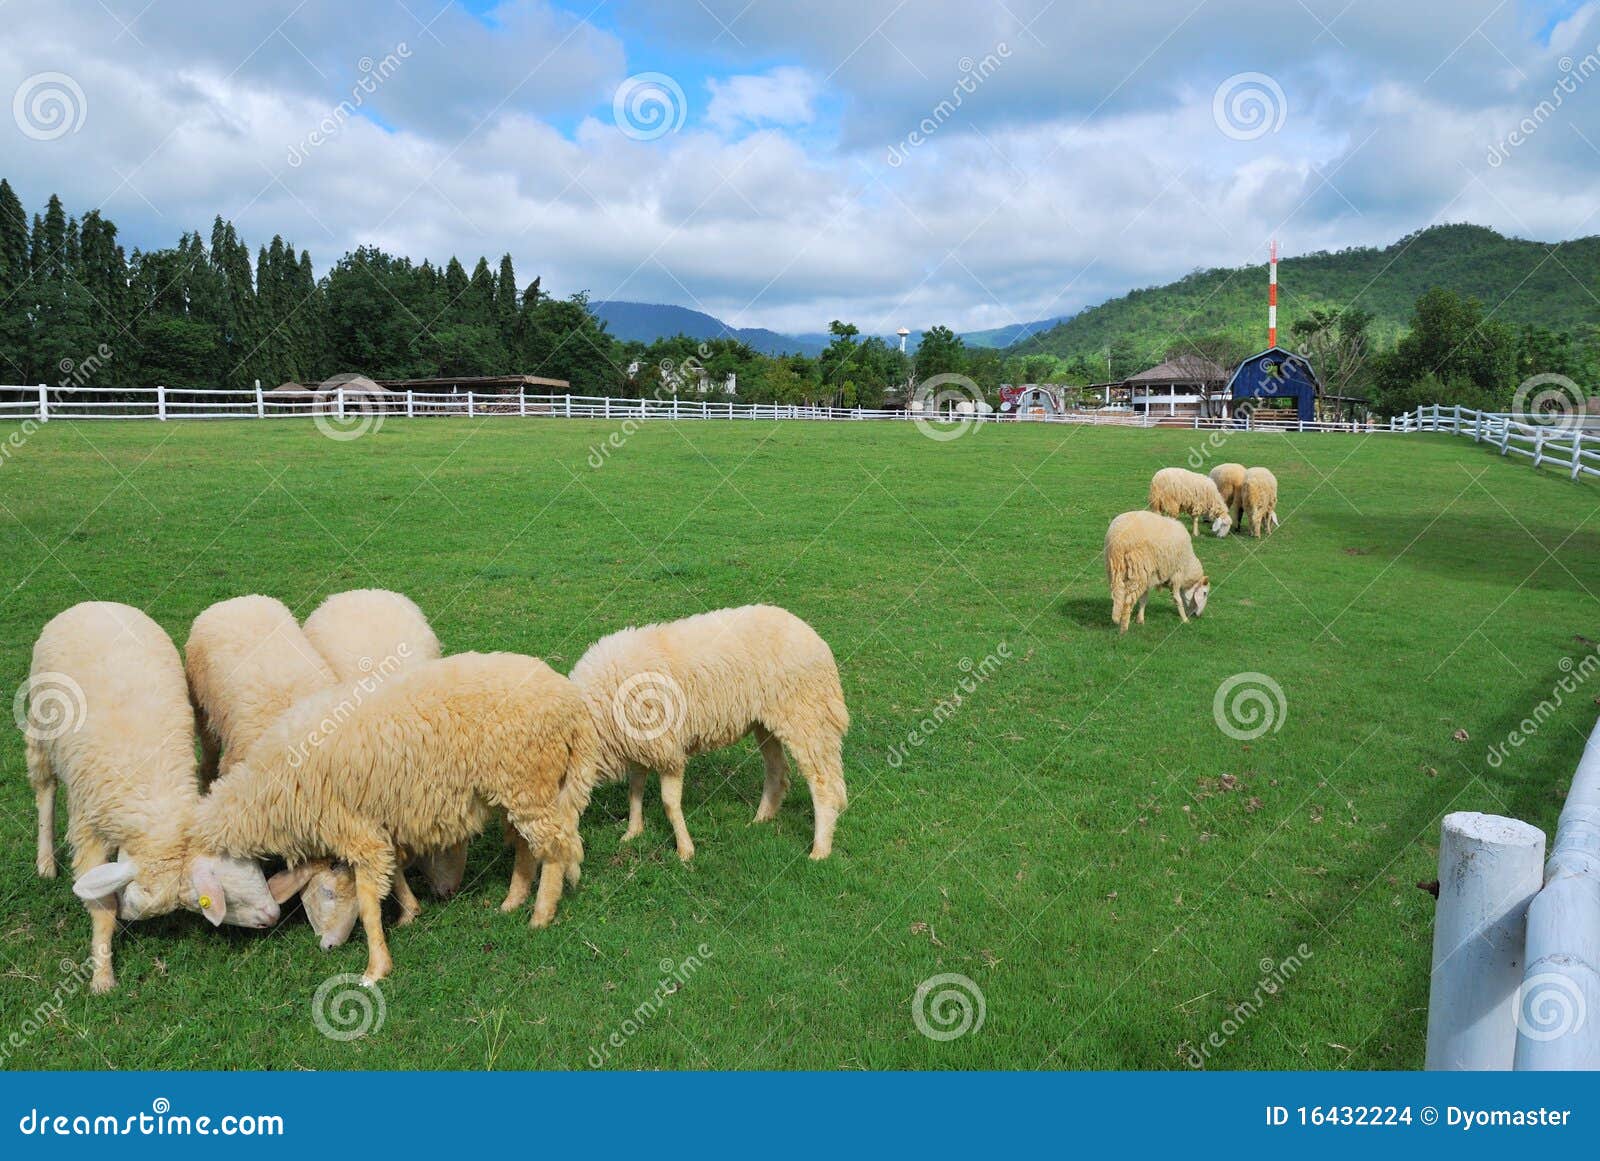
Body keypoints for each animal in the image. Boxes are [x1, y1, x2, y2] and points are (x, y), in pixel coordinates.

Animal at [24, 602, 280, 993]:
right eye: (204, 900)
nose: (273, 915)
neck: (152, 796)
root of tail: (96, 603)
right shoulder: (87, 824)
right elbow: (100, 903)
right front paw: (102, 972)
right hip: (40, 727)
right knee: (45, 791)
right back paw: (45, 862)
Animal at [190, 651, 598, 984]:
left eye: (326, 894)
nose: (327, 947)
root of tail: (571, 702)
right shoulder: (379, 821)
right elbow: (395, 869)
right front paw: (409, 913)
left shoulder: (353, 827)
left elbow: (369, 899)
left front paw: (375, 968)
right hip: (518, 787)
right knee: (527, 845)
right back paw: (513, 900)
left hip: (529, 780)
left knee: (554, 848)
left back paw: (541, 915)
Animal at [553, 604, 849, 871]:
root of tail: (814, 637)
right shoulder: (638, 745)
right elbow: (634, 789)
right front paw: (633, 832)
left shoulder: (667, 749)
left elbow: (669, 803)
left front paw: (685, 850)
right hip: (766, 722)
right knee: (778, 770)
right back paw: (760, 819)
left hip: (805, 716)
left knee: (823, 784)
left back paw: (820, 849)